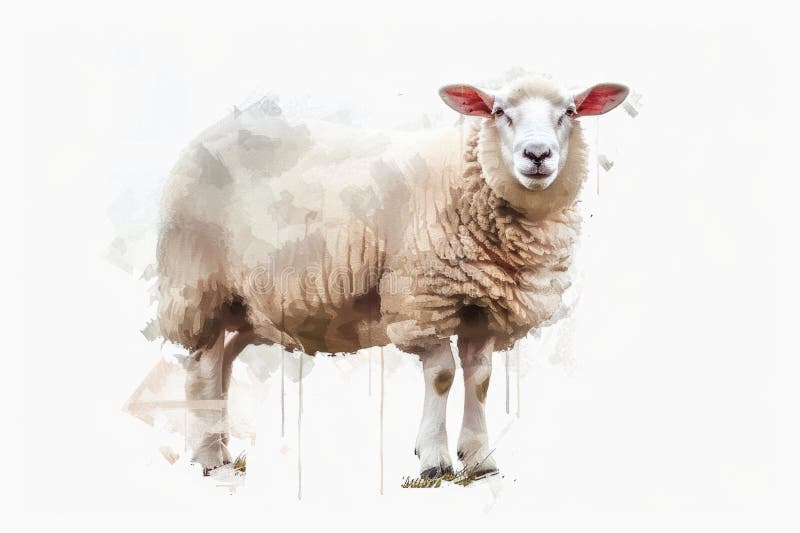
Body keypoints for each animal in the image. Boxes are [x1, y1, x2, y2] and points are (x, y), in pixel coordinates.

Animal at [156, 75, 629, 478]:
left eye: (569, 111)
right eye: (499, 112)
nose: (537, 155)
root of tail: (209, 133)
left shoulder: (484, 306)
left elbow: (480, 379)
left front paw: (479, 459)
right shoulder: (423, 299)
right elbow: (442, 374)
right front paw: (434, 459)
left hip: (246, 306)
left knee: (223, 365)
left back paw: (219, 447)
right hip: (198, 285)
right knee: (201, 369)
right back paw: (209, 458)